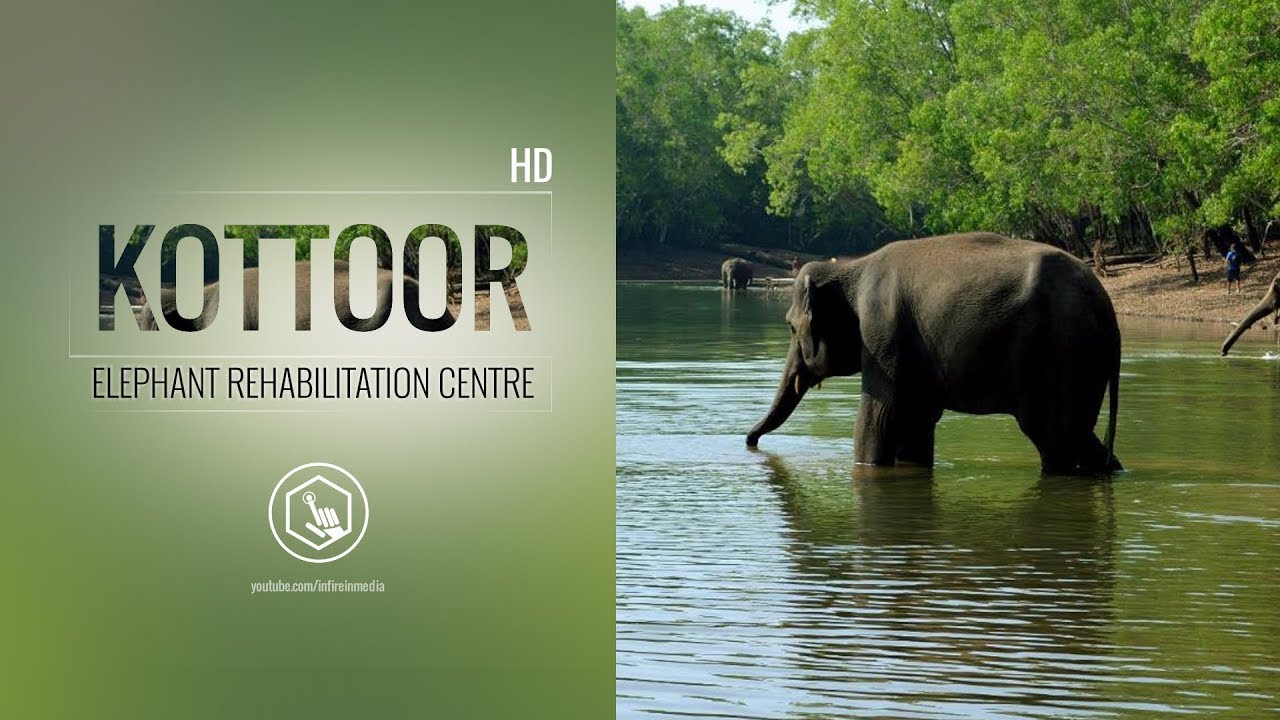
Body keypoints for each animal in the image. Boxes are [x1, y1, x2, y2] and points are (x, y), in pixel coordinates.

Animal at [746, 232, 1122, 475]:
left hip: (1056, 353)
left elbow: (879, 416)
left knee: (1052, 434)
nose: (750, 442)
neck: (850, 267)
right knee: (1076, 434)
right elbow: (917, 419)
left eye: (790, 327)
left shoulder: (883, 333)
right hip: (1081, 359)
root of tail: (1105, 304)